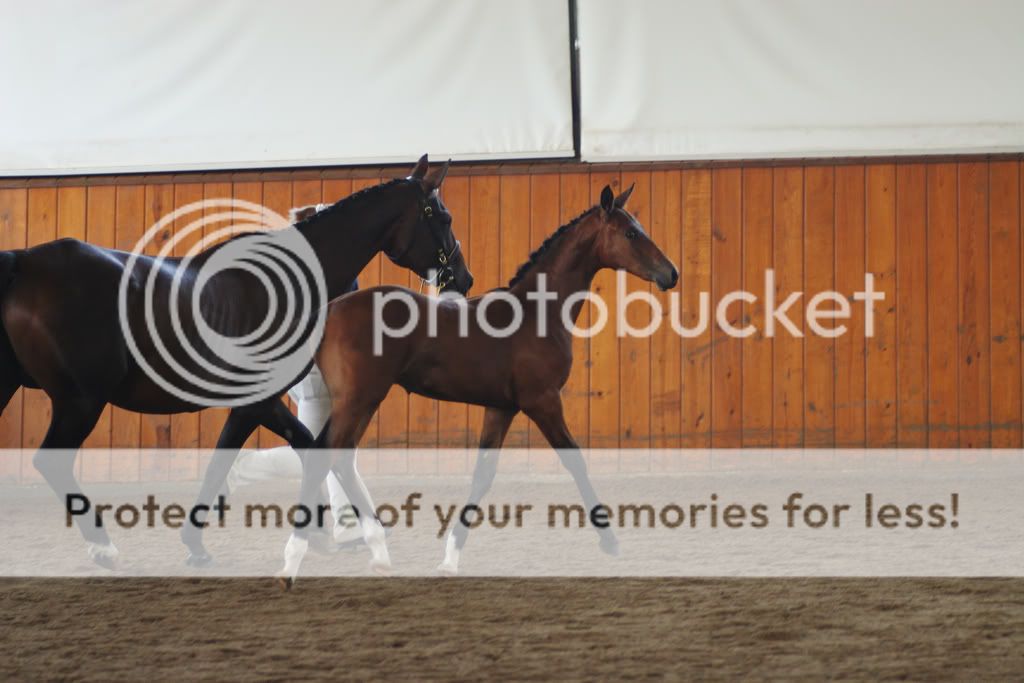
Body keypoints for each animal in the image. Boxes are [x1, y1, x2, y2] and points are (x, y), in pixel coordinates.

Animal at [0, 155, 473, 567]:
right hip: (81, 401)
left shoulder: (261, 403)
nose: (464, 279)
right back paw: (104, 549)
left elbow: (295, 449)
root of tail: (22, 262)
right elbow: (248, 458)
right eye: (444, 218)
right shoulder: (255, 402)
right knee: (50, 462)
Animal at [276, 182, 679, 586]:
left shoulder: (501, 407)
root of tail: (329, 310)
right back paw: (295, 558)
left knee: (339, 459)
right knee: (325, 456)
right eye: (630, 233)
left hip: (360, 400)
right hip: (359, 398)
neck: (536, 312)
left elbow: (483, 475)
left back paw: (378, 552)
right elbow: (575, 460)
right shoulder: (543, 401)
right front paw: (610, 541)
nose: (670, 273)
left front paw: (451, 556)